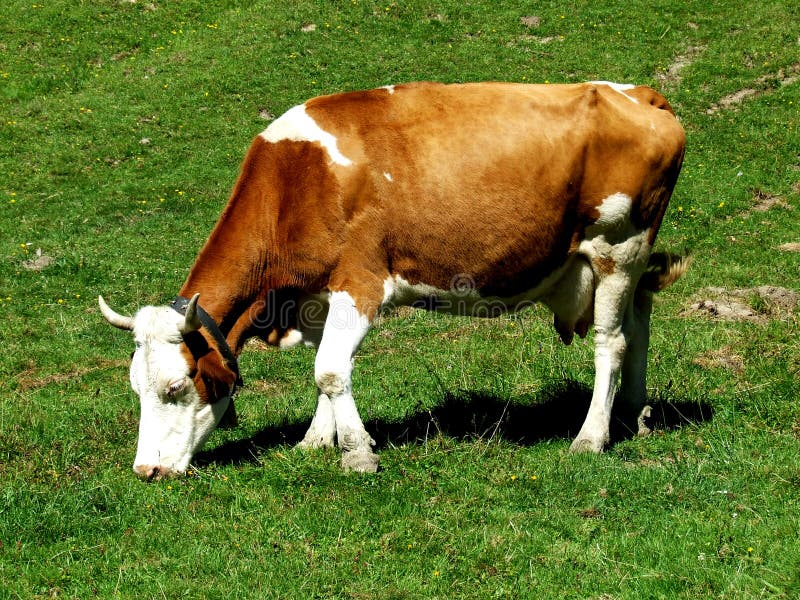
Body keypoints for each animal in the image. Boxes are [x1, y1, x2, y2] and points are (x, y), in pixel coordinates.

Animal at [99, 81, 688, 480]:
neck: (296, 180)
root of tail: (637, 93)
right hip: (628, 262)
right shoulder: (316, 293)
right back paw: (632, 414)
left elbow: (329, 370)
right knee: (640, 325)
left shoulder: (360, 281)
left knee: (611, 342)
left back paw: (591, 437)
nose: (146, 472)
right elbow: (325, 371)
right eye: (135, 389)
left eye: (176, 388)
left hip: (616, 249)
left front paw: (358, 453)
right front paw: (316, 440)